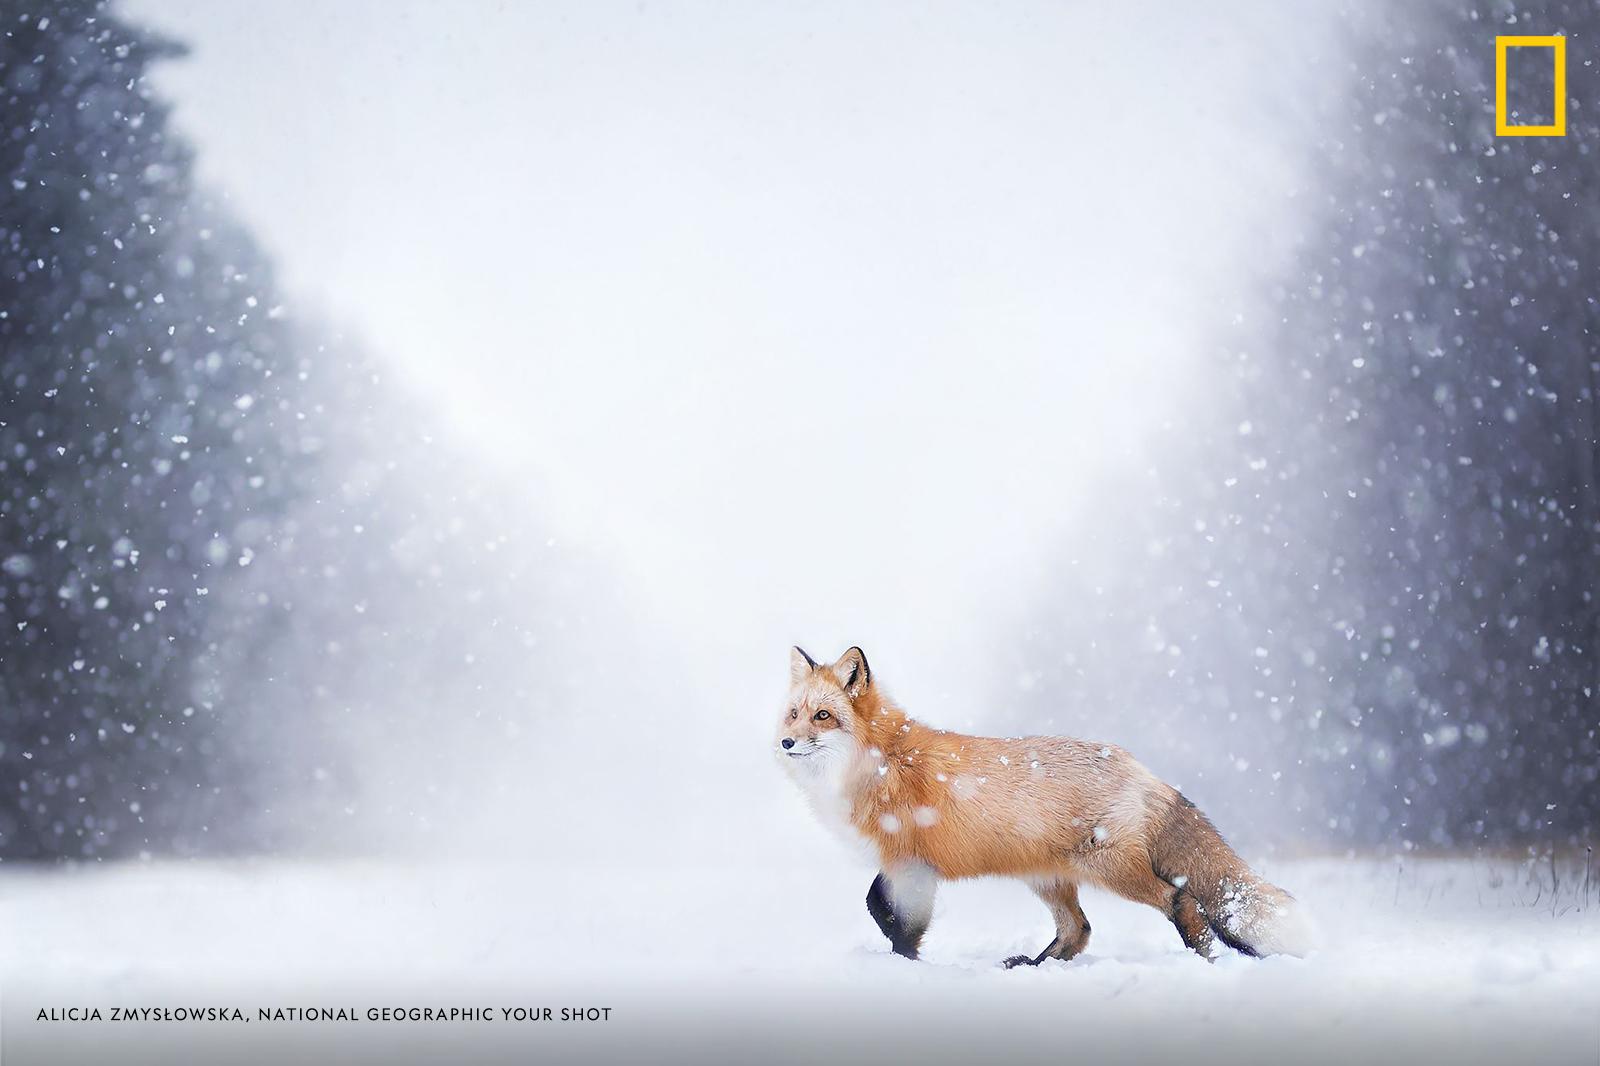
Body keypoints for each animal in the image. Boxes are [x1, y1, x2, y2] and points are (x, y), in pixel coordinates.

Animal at [776, 646, 1312, 966]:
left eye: (823, 716)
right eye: (794, 713)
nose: (785, 742)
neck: (881, 763)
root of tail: (1141, 769)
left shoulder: (910, 865)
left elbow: (896, 917)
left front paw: (905, 962)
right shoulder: (899, 864)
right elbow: (874, 903)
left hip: (1109, 869)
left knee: (1180, 899)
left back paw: (1202, 959)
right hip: (1048, 878)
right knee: (1079, 930)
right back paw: (1034, 965)